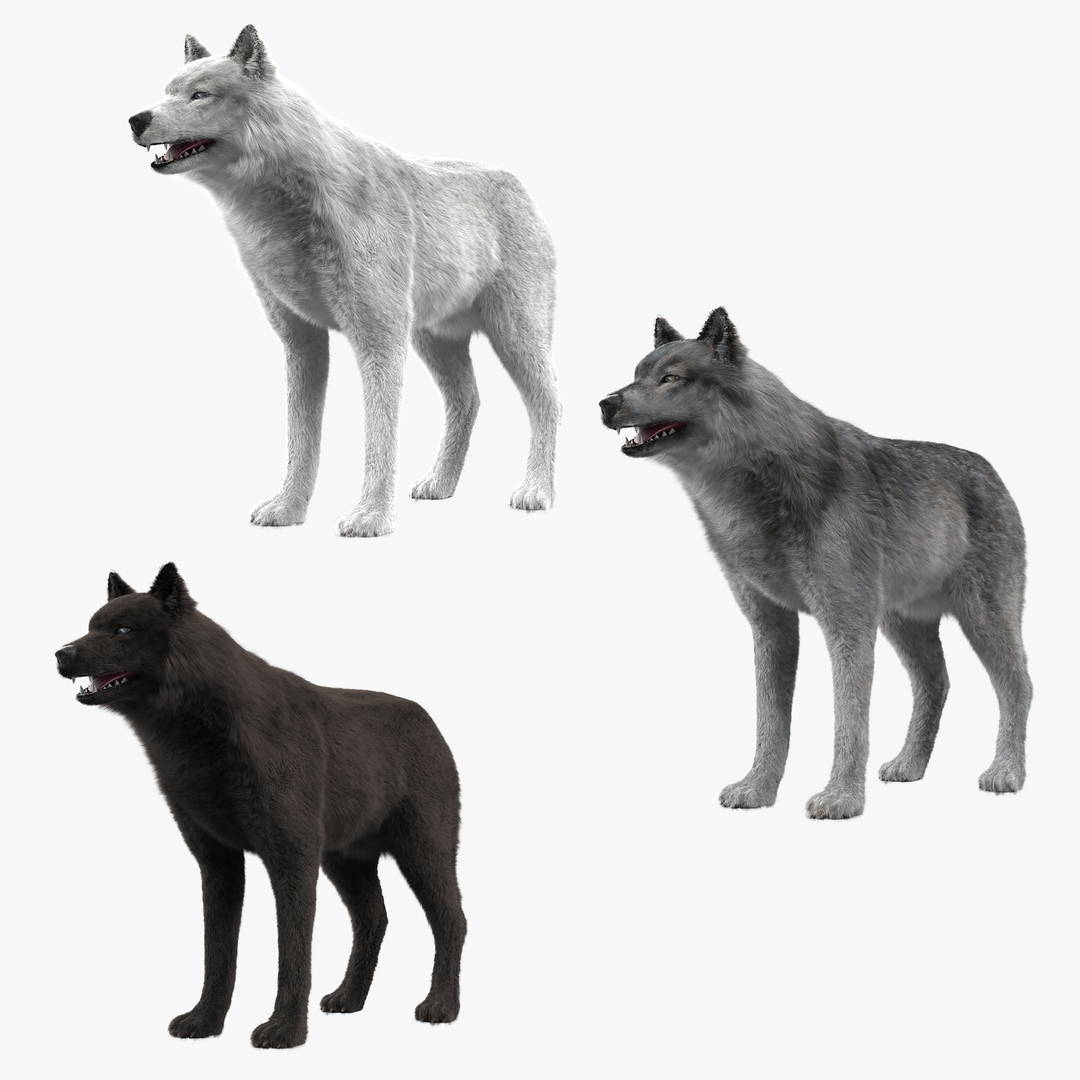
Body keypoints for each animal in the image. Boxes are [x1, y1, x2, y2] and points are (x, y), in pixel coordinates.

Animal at [55, 564, 465, 1048]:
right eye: (89, 626)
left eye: (122, 630)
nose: (60, 654)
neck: (204, 732)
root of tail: (429, 721)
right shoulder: (219, 862)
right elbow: (218, 954)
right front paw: (205, 1021)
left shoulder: (292, 857)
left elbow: (292, 951)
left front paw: (285, 1030)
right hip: (345, 861)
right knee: (374, 919)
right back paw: (348, 998)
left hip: (423, 852)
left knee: (451, 920)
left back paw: (441, 1006)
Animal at [128, 26, 559, 537]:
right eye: (167, 91)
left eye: (199, 95)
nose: (135, 119)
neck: (281, 209)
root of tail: (518, 184)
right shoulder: (303, 341)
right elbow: (301, 439)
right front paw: (288, 510)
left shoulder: (378, 339)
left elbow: (378, 436)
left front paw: (370, 517)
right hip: (433, 340)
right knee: (469, 400)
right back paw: (439, 484)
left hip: (513, 334)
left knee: (548, 400)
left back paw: (537, 491)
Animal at [599, 307, 1031, 819]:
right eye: (635, 375)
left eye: (670, 378)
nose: (604, 404)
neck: (749, 489)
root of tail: (990, 470)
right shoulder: (771, 625)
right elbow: (770, 722)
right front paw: (758, 790)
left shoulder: (848, 624)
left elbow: (849, 720)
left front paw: (841, 798)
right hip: (902, 625)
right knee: (937, 683)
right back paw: (909, 765)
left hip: (982, 618)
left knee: (1018, 685)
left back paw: (1007, 773)